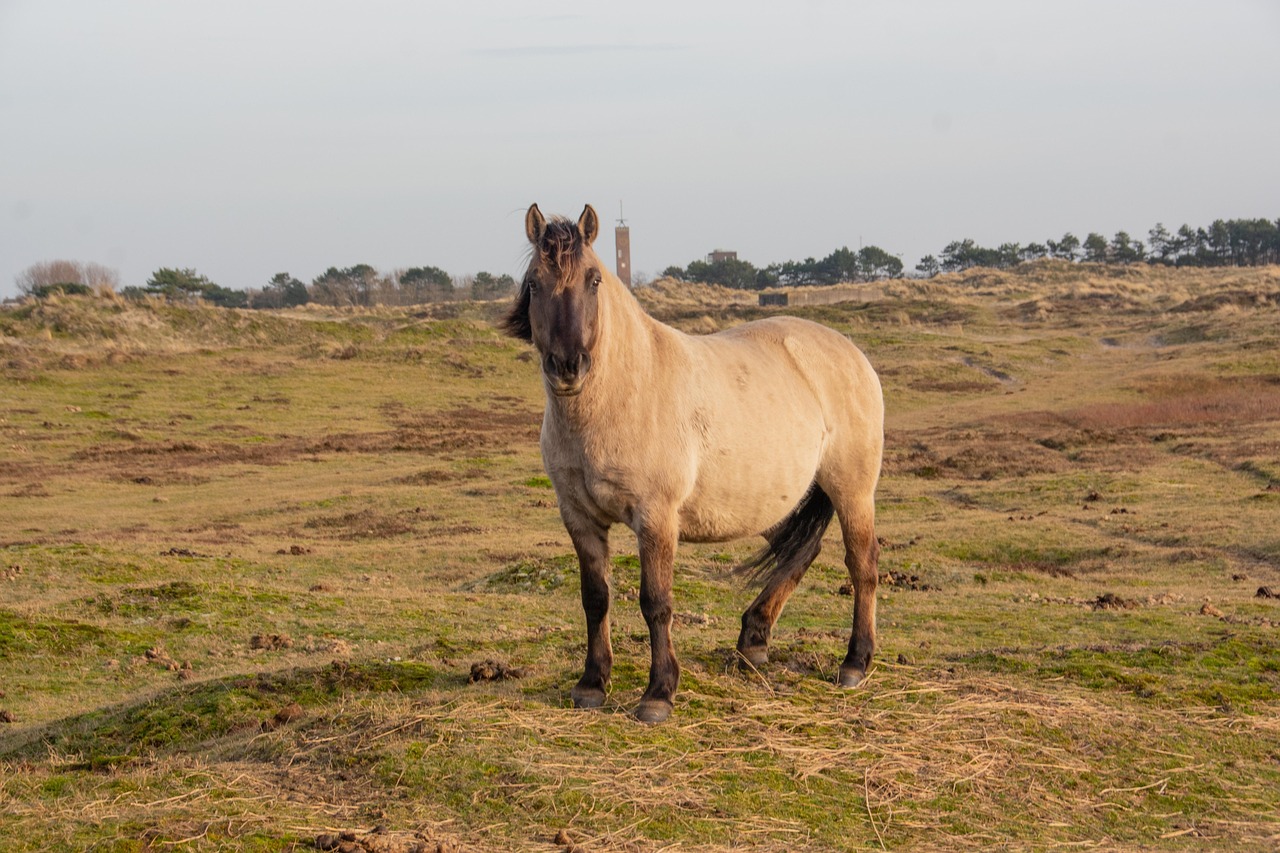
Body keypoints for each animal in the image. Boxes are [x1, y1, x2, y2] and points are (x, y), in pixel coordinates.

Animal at [504, 204, 884, 723]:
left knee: (862, 564)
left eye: (593, 280)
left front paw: (658, 693)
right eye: (534, 283)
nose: (567, 367)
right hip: (774, 498)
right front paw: (591, 684)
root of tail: (850, 352)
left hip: (852, 490)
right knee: (801, 553)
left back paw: (855, 663)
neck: (621, 395)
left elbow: (656, 603)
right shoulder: (579, 517)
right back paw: (754, 640)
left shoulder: (656, 518)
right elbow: (595, 598)